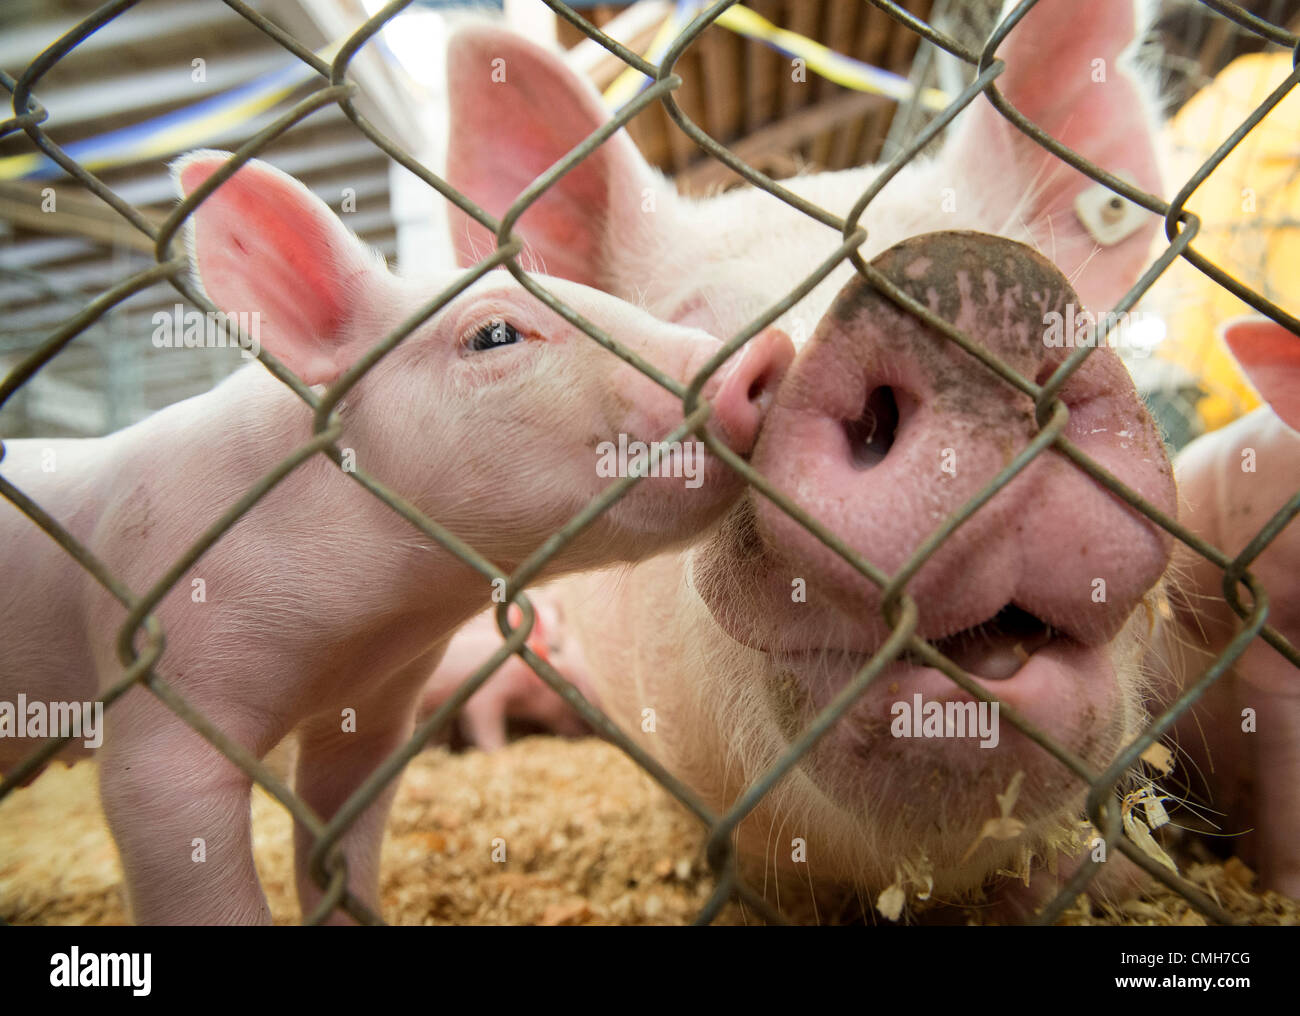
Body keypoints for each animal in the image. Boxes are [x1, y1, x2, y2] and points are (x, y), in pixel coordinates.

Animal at [0, 151, 793, 924]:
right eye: (494, 334)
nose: (767, 354)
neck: (357, 631)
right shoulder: (161, 712)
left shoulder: (375, 716)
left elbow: (342, 852)